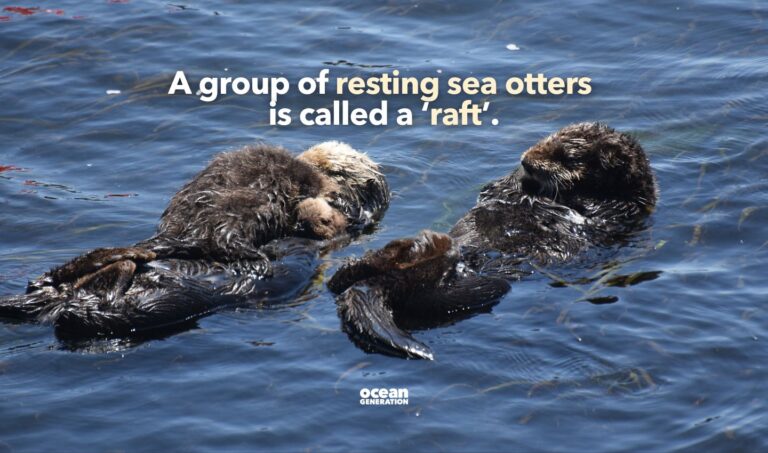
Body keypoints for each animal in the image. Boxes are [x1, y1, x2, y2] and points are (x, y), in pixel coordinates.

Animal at [328, 123, 658, 359]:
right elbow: (498, 188)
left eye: (567, 157)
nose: (527, 160)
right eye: (548, 140)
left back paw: (422, 246)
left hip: (474, 290)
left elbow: (588, 209)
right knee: (340, 281)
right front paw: (522, 180)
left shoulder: (622, 211)